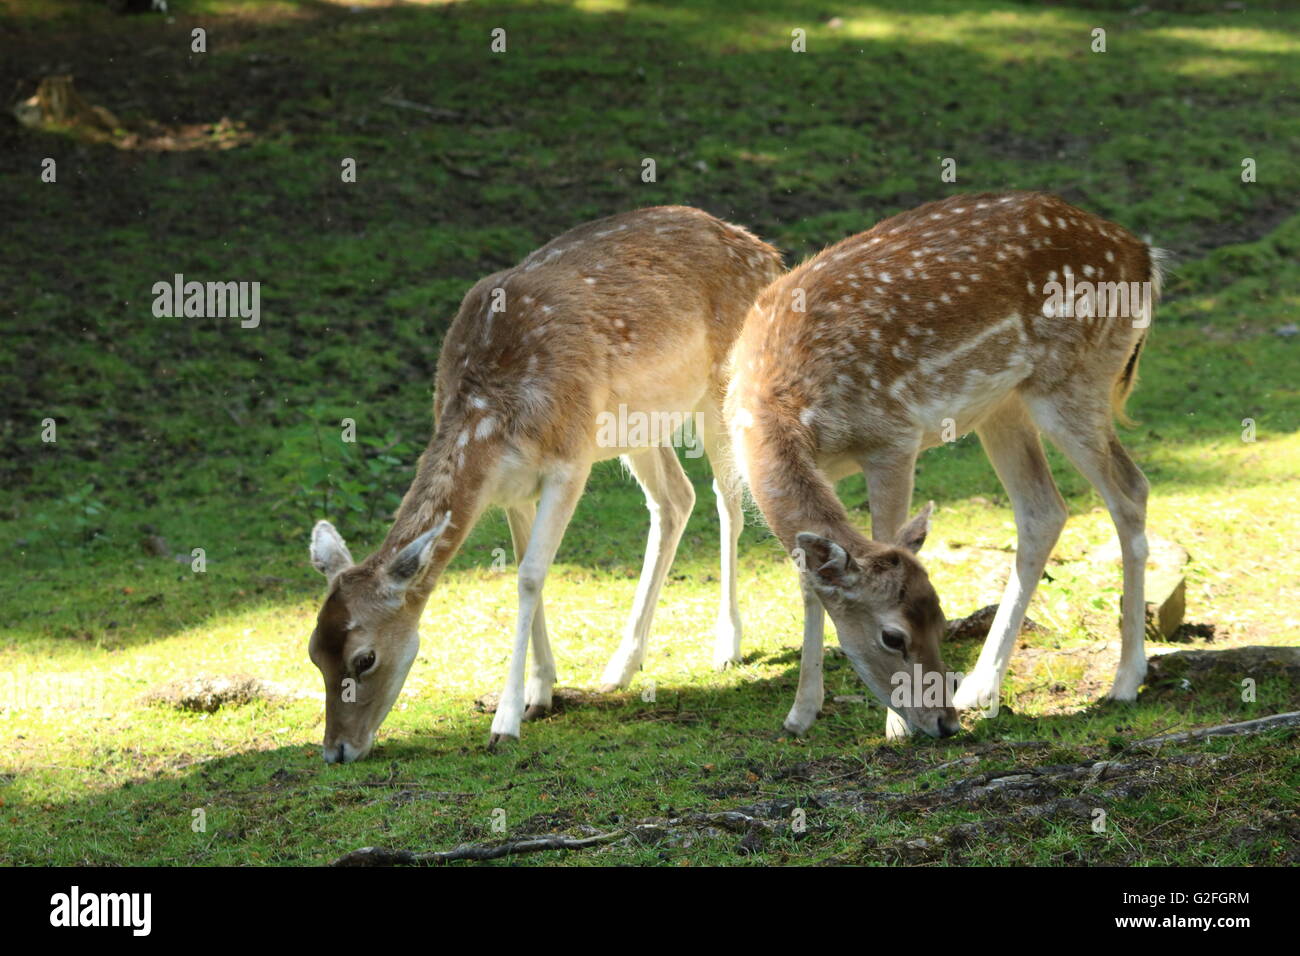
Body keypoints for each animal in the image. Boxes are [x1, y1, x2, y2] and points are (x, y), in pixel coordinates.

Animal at [307, 206, 783, 762]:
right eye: (314, 653)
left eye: (364, 658)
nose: (336, 750)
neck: (488, 415)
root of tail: (766, 251)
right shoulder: (510, 489)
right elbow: (524, 568)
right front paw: (541, 693)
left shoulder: (569, 462)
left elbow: (531, 576)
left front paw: (506, 721)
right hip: (639, 426)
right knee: (674, 499)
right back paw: (622, 666)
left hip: (723, 388)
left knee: (727, 498)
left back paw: (726, 645)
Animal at [725, 191, 1165, 740]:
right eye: (894, 637)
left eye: (938, 621)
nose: (944, 721)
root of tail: (1144, 256)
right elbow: (810, 583)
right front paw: (801, 714)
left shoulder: (893, 438)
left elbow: (880, 536)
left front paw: (893, 727)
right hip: (1005, 404)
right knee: (1044, 510)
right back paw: (983, 687)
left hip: (1074, 380)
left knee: (1130, 490)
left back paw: (1125, 681)